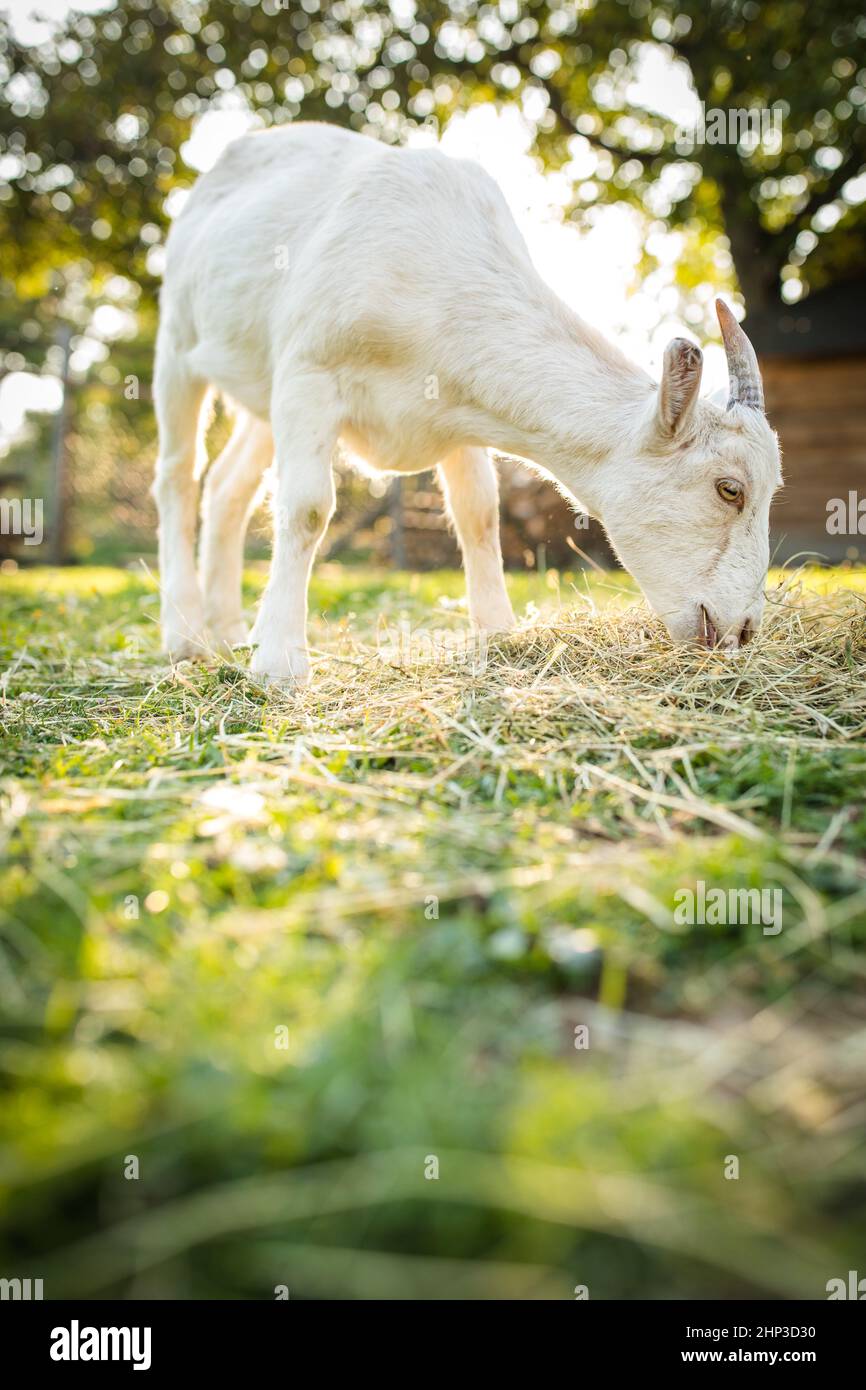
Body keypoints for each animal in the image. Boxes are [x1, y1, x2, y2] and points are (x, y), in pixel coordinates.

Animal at [154, 121, 782, 682]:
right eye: (730, 489)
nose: (745, 630)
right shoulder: (310, 375)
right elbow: (307, 508)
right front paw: (280, 664)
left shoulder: (459, 409)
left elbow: (479, 512)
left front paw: (498, 633)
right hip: (179, 339)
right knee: (178, 477)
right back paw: (184, 635)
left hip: (261, 391)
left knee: (227, 487)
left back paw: (230, 631)